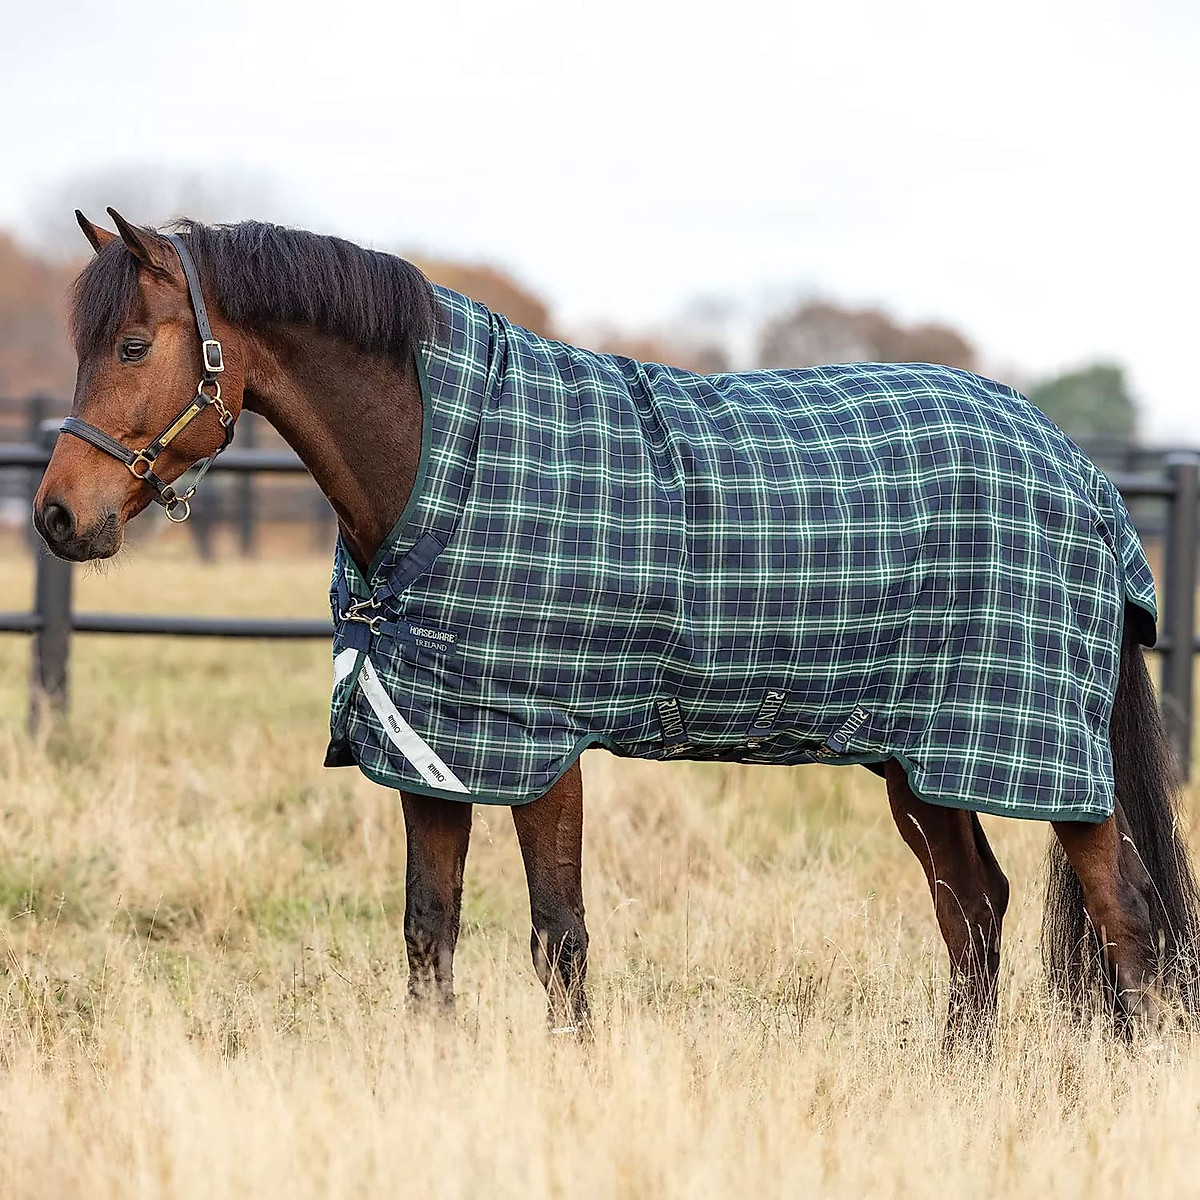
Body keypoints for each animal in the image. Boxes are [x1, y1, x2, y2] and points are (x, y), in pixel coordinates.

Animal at [32, 208, 1200, 1047]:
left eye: (132, 343)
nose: (57, 517)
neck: (445, 464)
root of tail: (1085, 478)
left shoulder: (540, 745)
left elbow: (559, 936)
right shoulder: (436, 746)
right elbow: (428, 932)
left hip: (1038, 747)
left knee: (1127, 914)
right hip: (921, 754)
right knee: (976, 911)